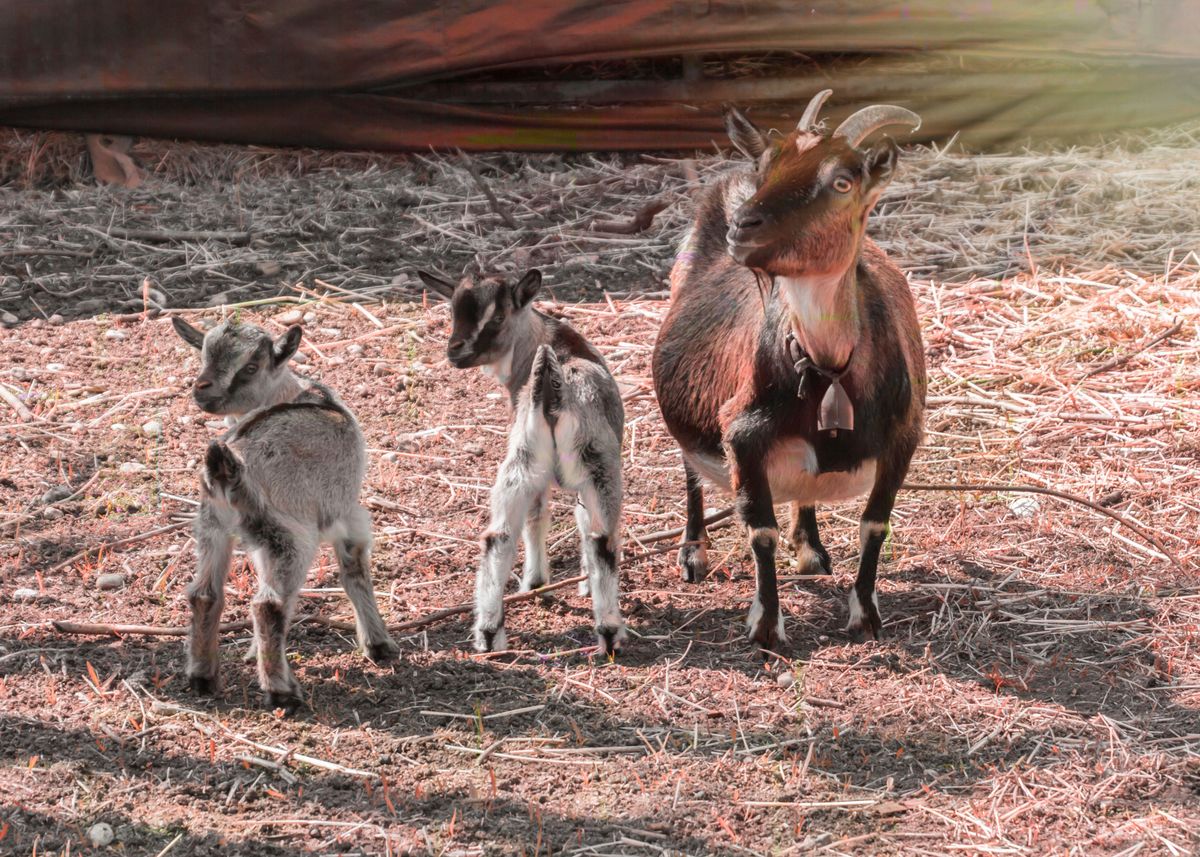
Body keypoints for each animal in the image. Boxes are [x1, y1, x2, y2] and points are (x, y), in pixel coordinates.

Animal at [172, 316, 397, 711]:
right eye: (202, 355)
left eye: (250, 366)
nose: (202, 390)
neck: (297, 394)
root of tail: (228, 464)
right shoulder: (346, 514)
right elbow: (354, 570)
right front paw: (378, 645)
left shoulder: (262, 544)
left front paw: (251, 653)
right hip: (293, 536)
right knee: (269, 605)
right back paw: (282, 692)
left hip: (213, 526)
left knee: (204, 594)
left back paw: (203, 677)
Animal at [416, 268, 626, 655]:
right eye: (452, 310)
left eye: (498, 317)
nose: (455, 352)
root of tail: (550, 387)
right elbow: (565, 521)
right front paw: (557, 583)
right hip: (598, 466)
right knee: (600, 538)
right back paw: (609, 632)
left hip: (521, 462)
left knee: (498, 536)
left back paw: (488, 634)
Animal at [651, 91, 926, 650]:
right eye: (768, 169)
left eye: (842, 181)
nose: (743, 226)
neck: (829, 367)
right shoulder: (741, 434)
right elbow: (761, 531)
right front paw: (765, 626)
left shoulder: (904, 436)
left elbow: (875, 523)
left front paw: (865, 615)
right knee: (689, 465)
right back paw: (694, 552)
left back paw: (812, 549)